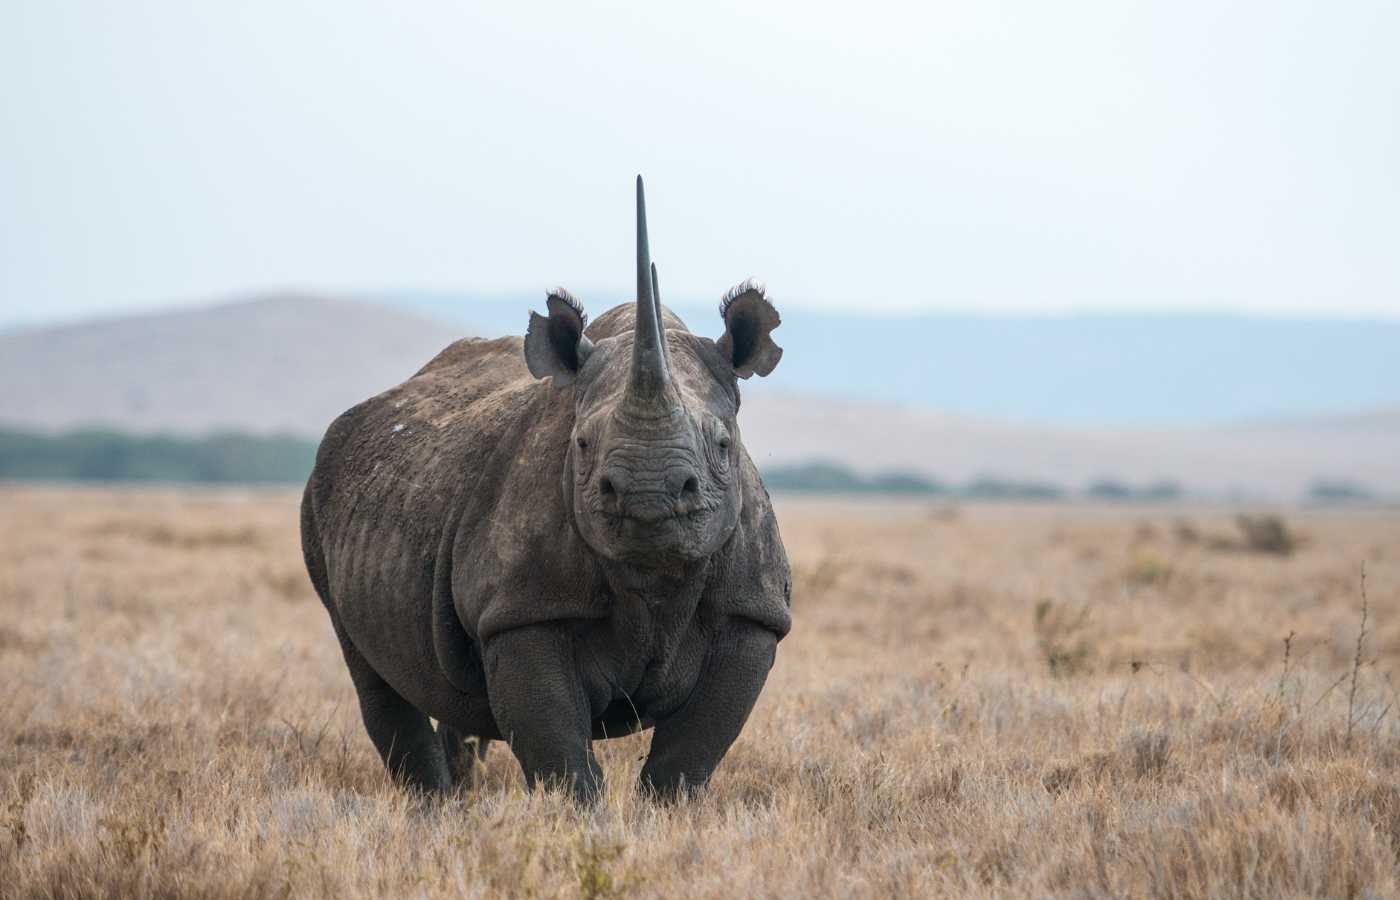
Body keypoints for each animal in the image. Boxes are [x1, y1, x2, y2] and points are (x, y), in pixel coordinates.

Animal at [300, 177, 791, 801]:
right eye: (580, 444)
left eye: (723, 445)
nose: (647, 496)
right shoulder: (523, 609)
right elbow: (559, 753)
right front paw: (578, 819)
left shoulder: (752, 610)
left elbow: (688, 758)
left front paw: (666, 816)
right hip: (317, 500)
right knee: (372, 673)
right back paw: (433, 808)